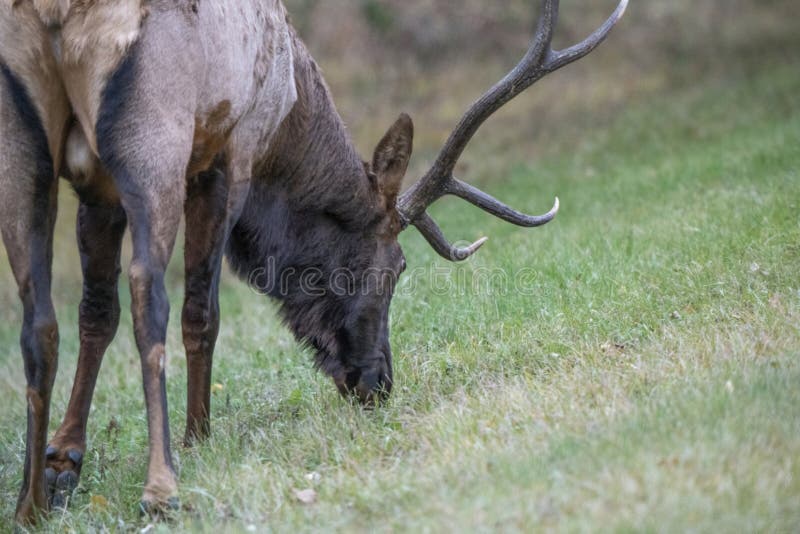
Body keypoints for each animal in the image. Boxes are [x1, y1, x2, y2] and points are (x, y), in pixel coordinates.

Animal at [0, 0, 627, 524]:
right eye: (397, 267)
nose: (379, 383)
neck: (289, 111)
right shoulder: (229, 155)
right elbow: (202, 312)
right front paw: (199, 436)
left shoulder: (96, 186)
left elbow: (94, 313)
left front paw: (64, 460)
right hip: (155, 132)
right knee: (147, 292)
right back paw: (162, 487)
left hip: (23, 145)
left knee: (39, 319)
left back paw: (29, 505)